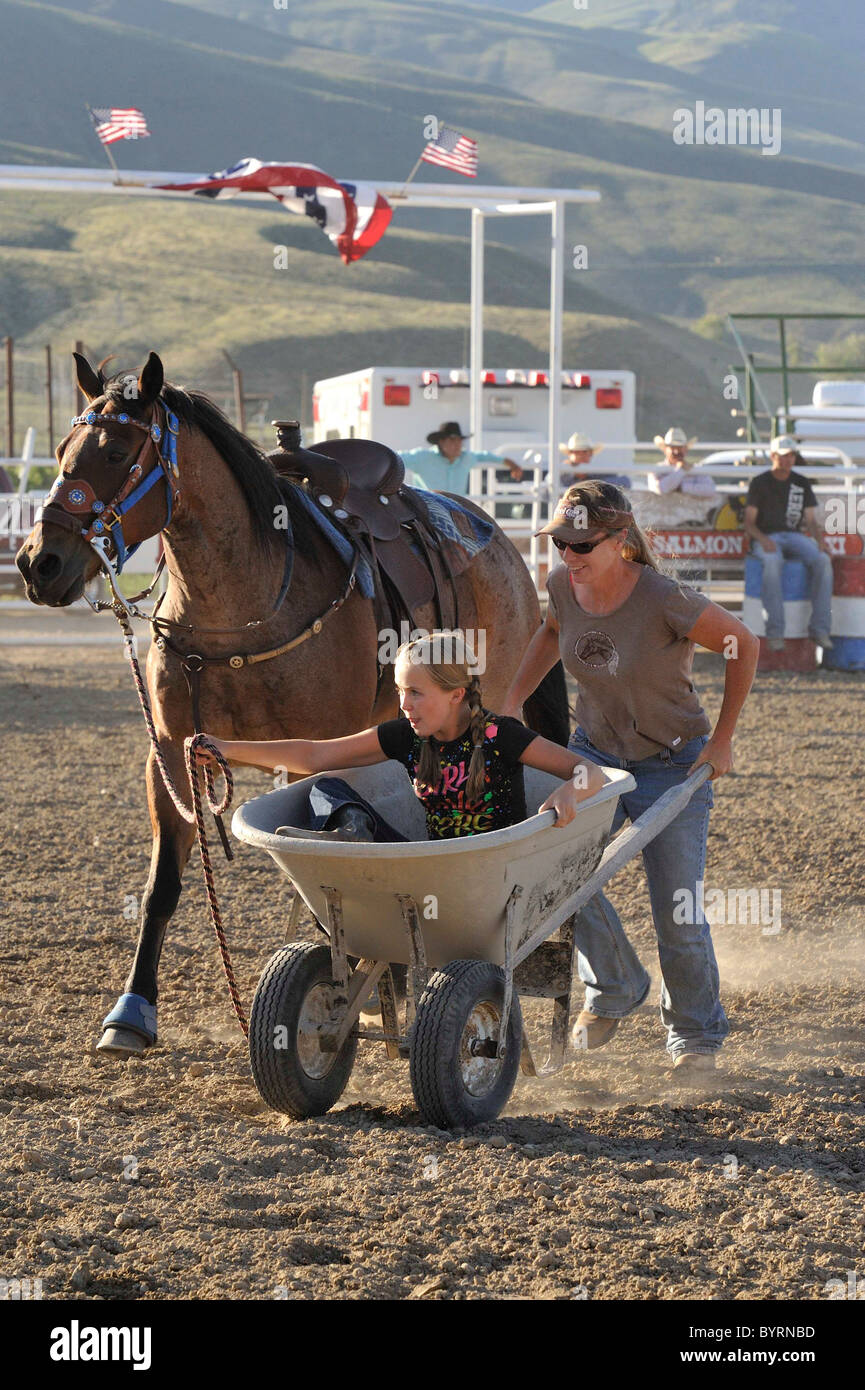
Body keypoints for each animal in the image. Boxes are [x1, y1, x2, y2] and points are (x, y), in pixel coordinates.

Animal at [16, 350, 570, 1056]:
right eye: (61, 451)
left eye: (116, 451)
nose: (39, 563)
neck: (240, 609)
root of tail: (495, 535)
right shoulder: (169, 753)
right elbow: (163, 886)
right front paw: (131, 1012)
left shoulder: (315, 752)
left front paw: (354, 993)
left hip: (490, 702)